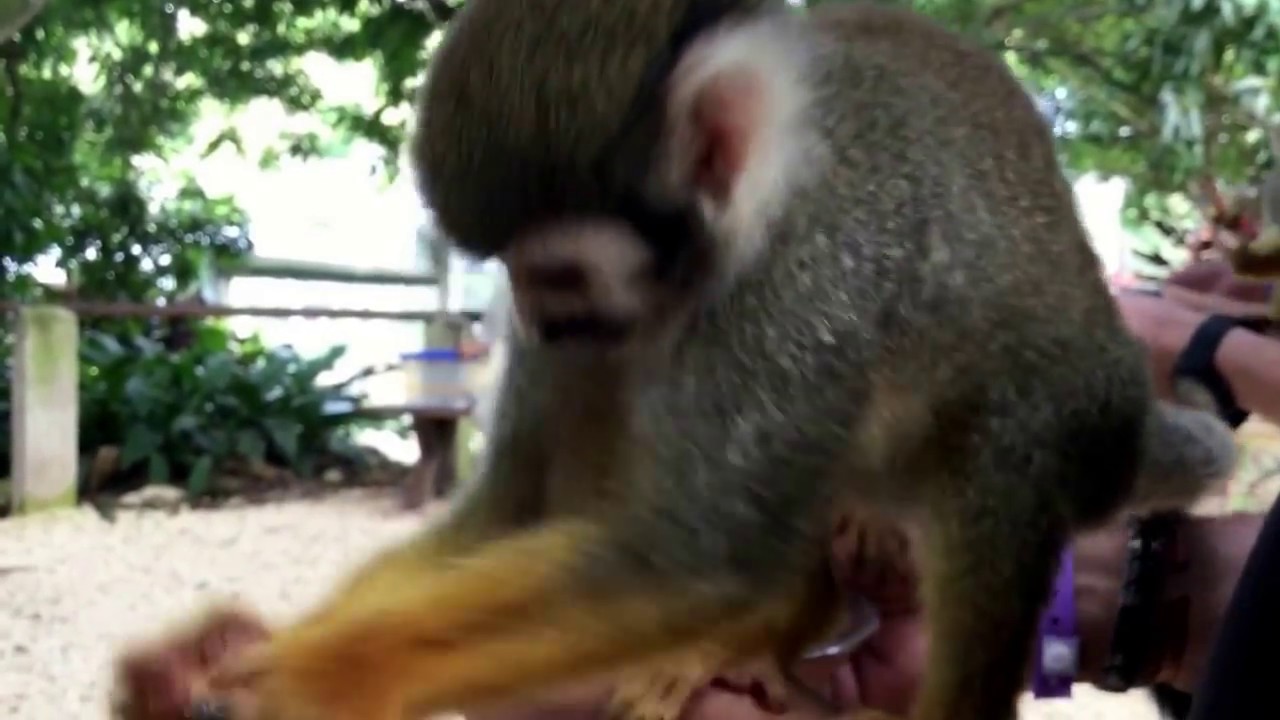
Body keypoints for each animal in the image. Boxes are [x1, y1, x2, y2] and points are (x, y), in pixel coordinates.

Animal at [109, 3, 1241, 720]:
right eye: (513, 274)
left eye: (558, 272)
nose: (534, 318)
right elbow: (516, 513)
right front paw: (208, 659)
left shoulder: (804, 278)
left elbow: (698, 559)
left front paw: (336, 676)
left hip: (1064, 416)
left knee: (998, 460)